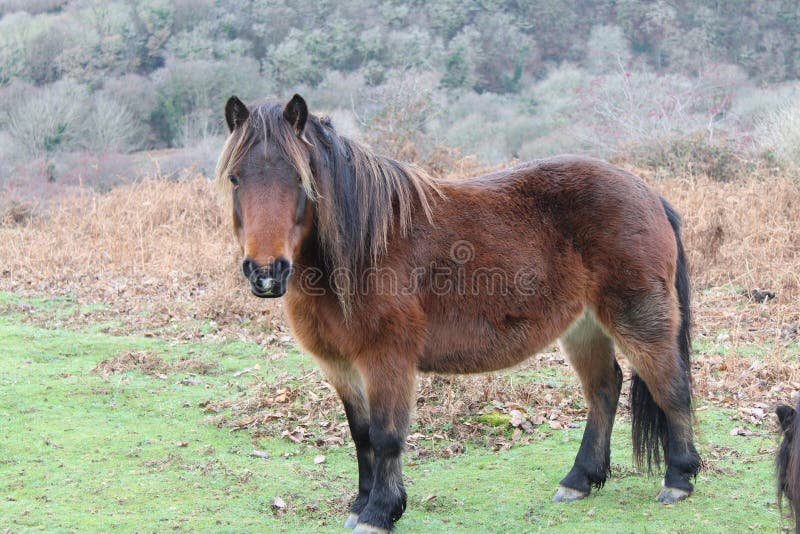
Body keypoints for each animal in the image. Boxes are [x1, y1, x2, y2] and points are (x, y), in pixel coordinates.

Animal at [215, 94, 700, 533]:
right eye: (236, 178)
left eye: (300, 179)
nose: (265, 272)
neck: (362, 247)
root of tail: (650, 195)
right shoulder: (341, 367)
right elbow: (360, 436)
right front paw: (360, 505)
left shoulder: (387, 360)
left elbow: (386, 436)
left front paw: (380, 513)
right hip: (583, 327)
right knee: (603, 389)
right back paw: (580, 480)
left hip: (638, 320)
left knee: (671, 387)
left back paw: (678, 480)